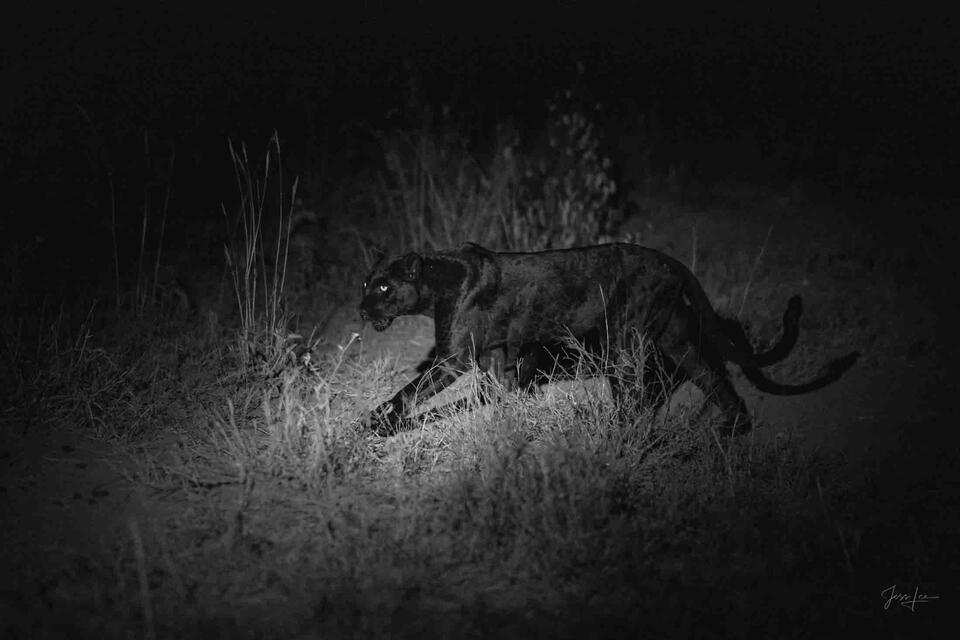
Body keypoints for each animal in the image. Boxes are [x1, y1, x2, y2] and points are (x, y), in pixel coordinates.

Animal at [358, 242, 859, 435]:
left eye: (382, 287)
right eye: (366, 283)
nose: (361, 308)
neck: (435, 283)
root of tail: (671, 262)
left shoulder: (452, 358)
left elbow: (410, 392)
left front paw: (375, 423)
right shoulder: (495, 356)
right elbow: (501, 393)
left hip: (624, 342)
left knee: (636, 399)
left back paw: (611, 432)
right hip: (675, 337)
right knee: (714, 378)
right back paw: (727, 430)